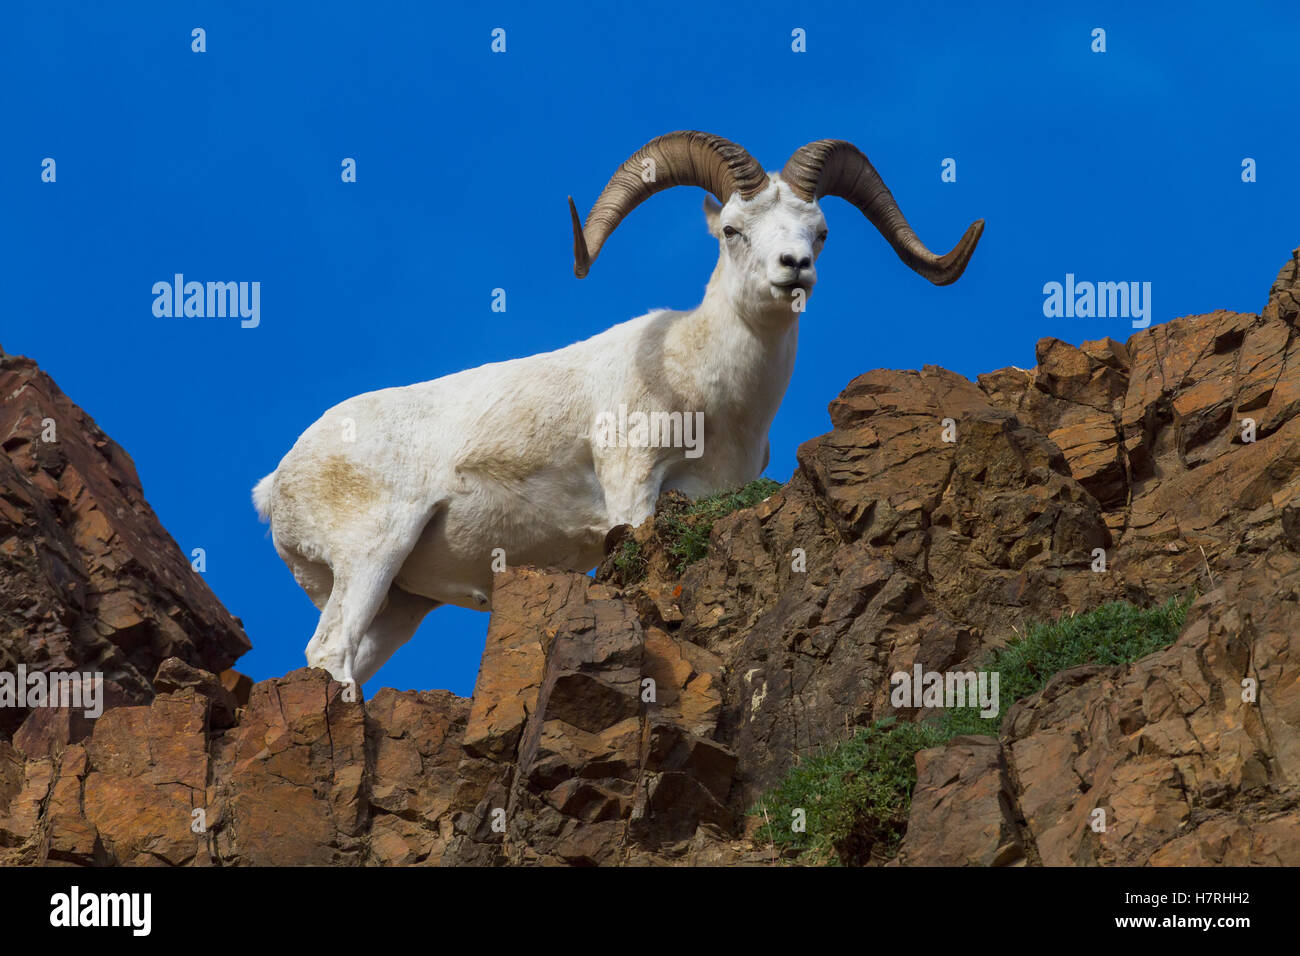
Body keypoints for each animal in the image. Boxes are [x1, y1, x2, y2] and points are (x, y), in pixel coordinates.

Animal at [253, 131, 984, 686]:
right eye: (733, 229)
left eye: (821, 232)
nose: (793, 267)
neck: (709, 394)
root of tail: (278, 483)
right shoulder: (633, 488)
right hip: (373, 553)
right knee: (330, 652)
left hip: (400, 606)